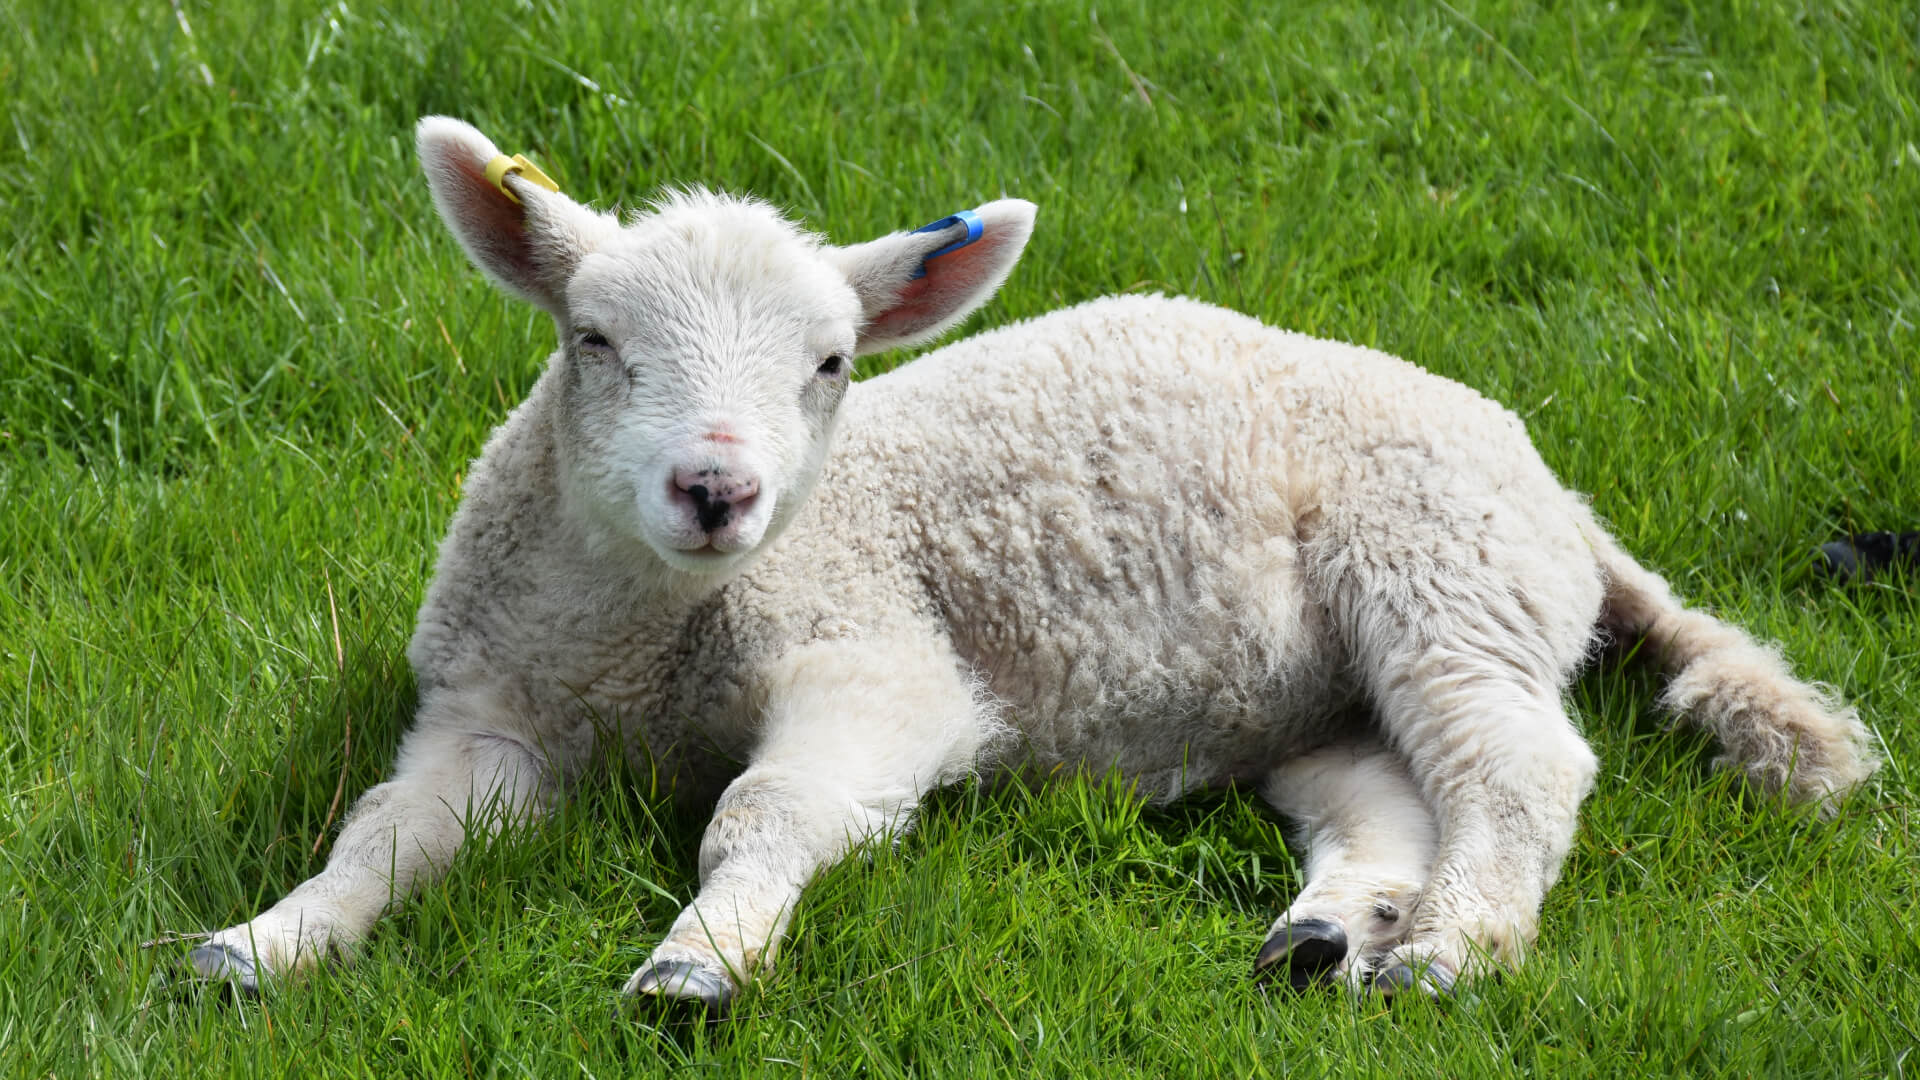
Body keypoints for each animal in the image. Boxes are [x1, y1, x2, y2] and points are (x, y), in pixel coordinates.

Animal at [188, 116, 1879, 1007]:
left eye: (828, 364)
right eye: (591, 341)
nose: (717, 489)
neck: (639, 639)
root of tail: (1554, 485)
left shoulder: (881, 663)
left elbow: (770, 810)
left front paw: (695, 967)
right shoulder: (487, 706)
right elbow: (387, 836)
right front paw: (262, 946)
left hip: (1439, 564)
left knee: (1518, 764)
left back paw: (1453, 948)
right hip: (1314, 683)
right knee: (1387, 792)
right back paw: (1327, 931)